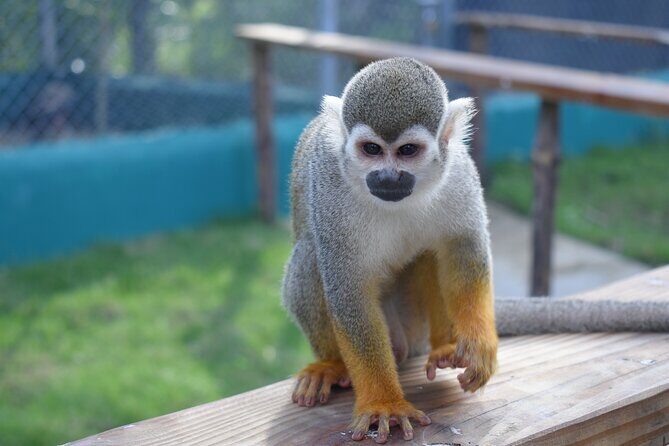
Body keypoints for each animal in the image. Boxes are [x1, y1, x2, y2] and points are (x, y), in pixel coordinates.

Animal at [282, 57, 498, 443]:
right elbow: (349, 291)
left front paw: (478, 345)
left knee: (432, 251)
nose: (388, 177)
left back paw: (443, 347)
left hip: (412, 325)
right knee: (309, 253)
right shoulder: (331, 187)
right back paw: (331, 365)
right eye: (372, 150)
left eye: (407, 151)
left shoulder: (457, 169)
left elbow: (463, 247)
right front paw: (384, 404)